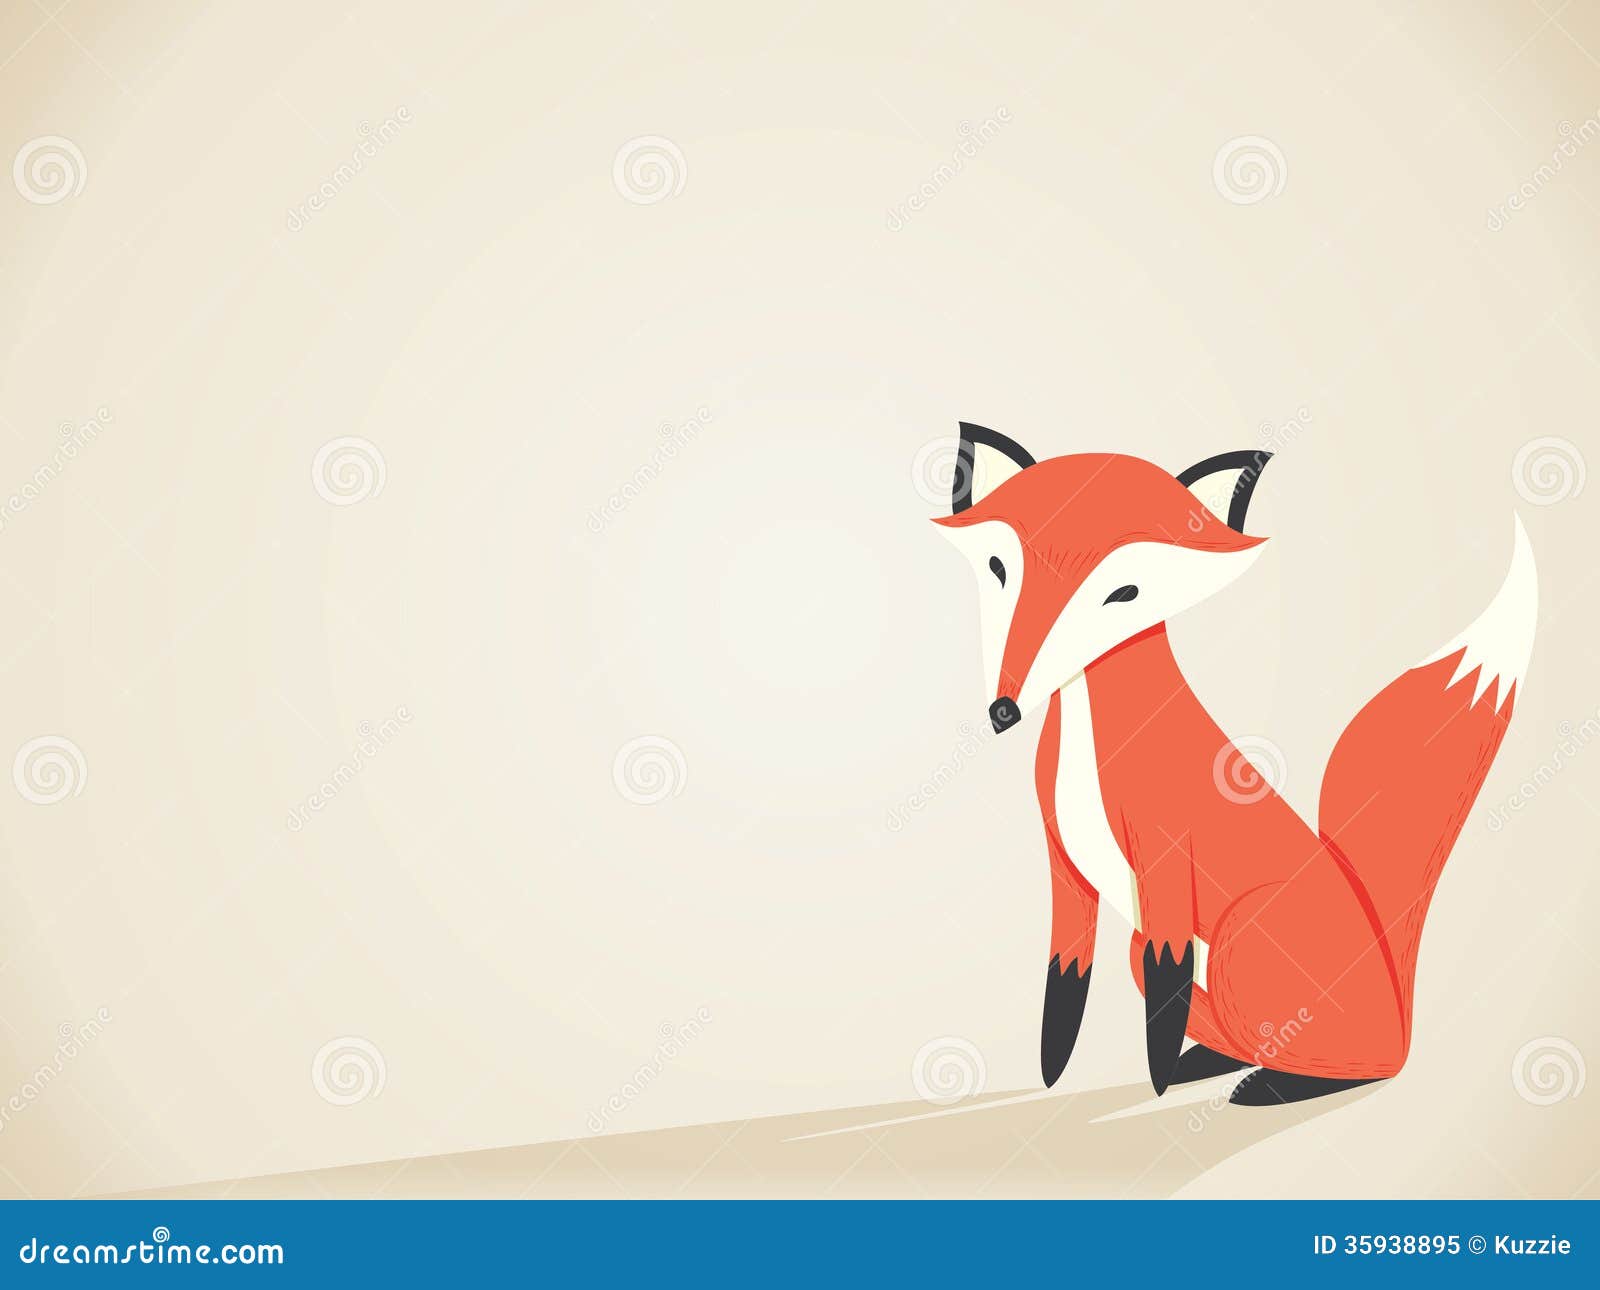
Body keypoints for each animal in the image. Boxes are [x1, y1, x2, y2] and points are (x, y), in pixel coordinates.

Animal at [935, 423, 1537, 1105]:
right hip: (1160, 950)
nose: (1003, 710)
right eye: (1000, 570)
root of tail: (1398, 996)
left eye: (1124, 593)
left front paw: (1156, 1082)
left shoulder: (1168, 855)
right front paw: (1054, 1069)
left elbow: (1164, 990)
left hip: (1239, 938)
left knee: (1367, 1065)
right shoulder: (1063, 860)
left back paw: (1273, 1085)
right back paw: (1213, 1063)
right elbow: (1066, 977)